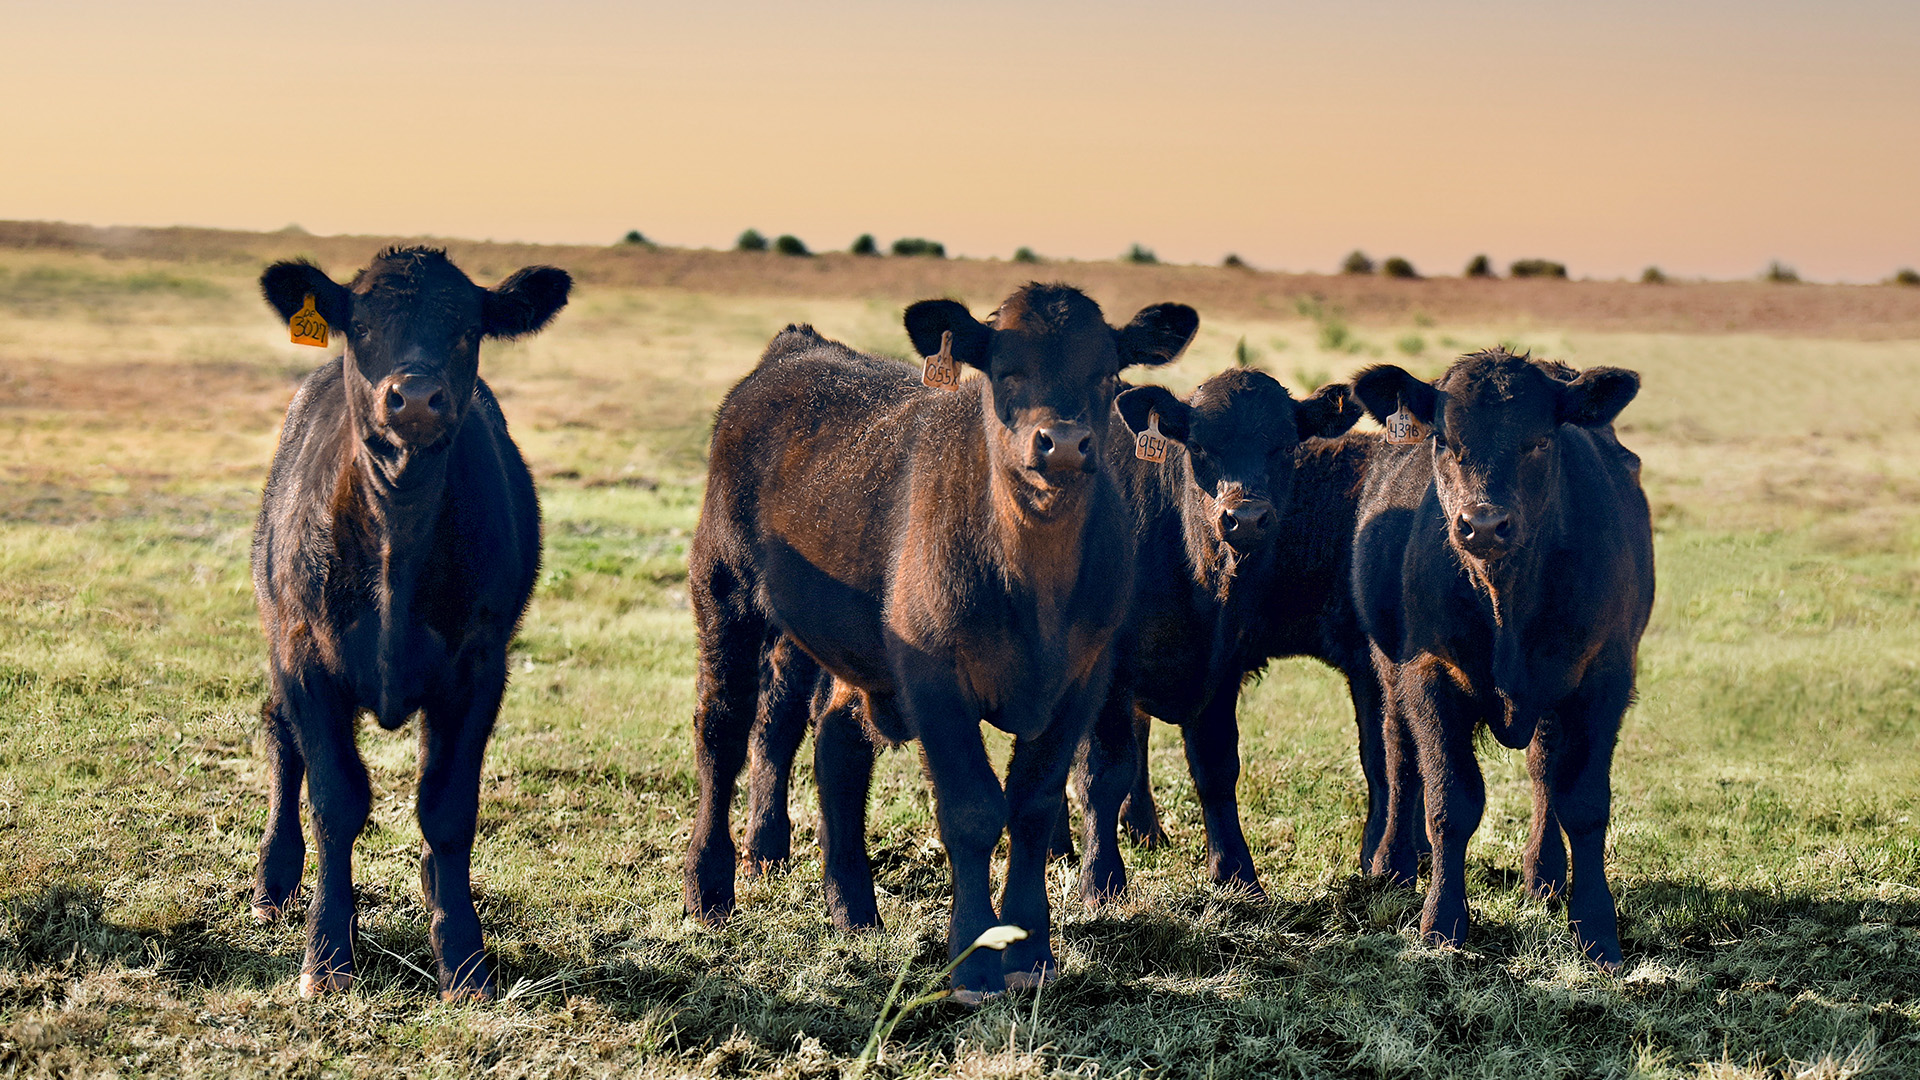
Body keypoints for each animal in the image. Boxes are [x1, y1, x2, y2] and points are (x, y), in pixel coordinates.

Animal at [249, 247, 569, 999]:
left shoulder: (478, 669)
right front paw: (327, 958)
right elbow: (335, 799)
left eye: (467, 329)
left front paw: (463, 958)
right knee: (280, 738)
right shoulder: (304, 658)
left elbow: (446, 809)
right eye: (361, 326)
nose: (416, 397)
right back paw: (274, 880)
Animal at [684, 284, 1197, 998]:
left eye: (1105, 374)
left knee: (830, 737)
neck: (1032, 590)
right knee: (724, 729)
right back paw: (709, 890)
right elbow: (974, 808)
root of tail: (797, 348)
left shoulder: (1082, 681)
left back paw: (851, 908)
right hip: (724, 591)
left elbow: (1034, 805)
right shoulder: (935, 678)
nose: (1063, 444)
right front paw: (976, 960)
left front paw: (1031, 951)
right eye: (1006, 372)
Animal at [1349, 348, 1652, 967]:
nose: (1483, 524)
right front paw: (1441, 923)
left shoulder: (1603, 677)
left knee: (1544, 772)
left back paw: (1543, 875)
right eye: (1443, 440)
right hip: (1388, 673)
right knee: (1398, 755)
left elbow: (1582, 802)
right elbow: (1450, 801)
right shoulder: (1428, 674)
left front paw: (1596, 930)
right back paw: (1393, 865)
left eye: (1539, 440)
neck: (1504, 599)